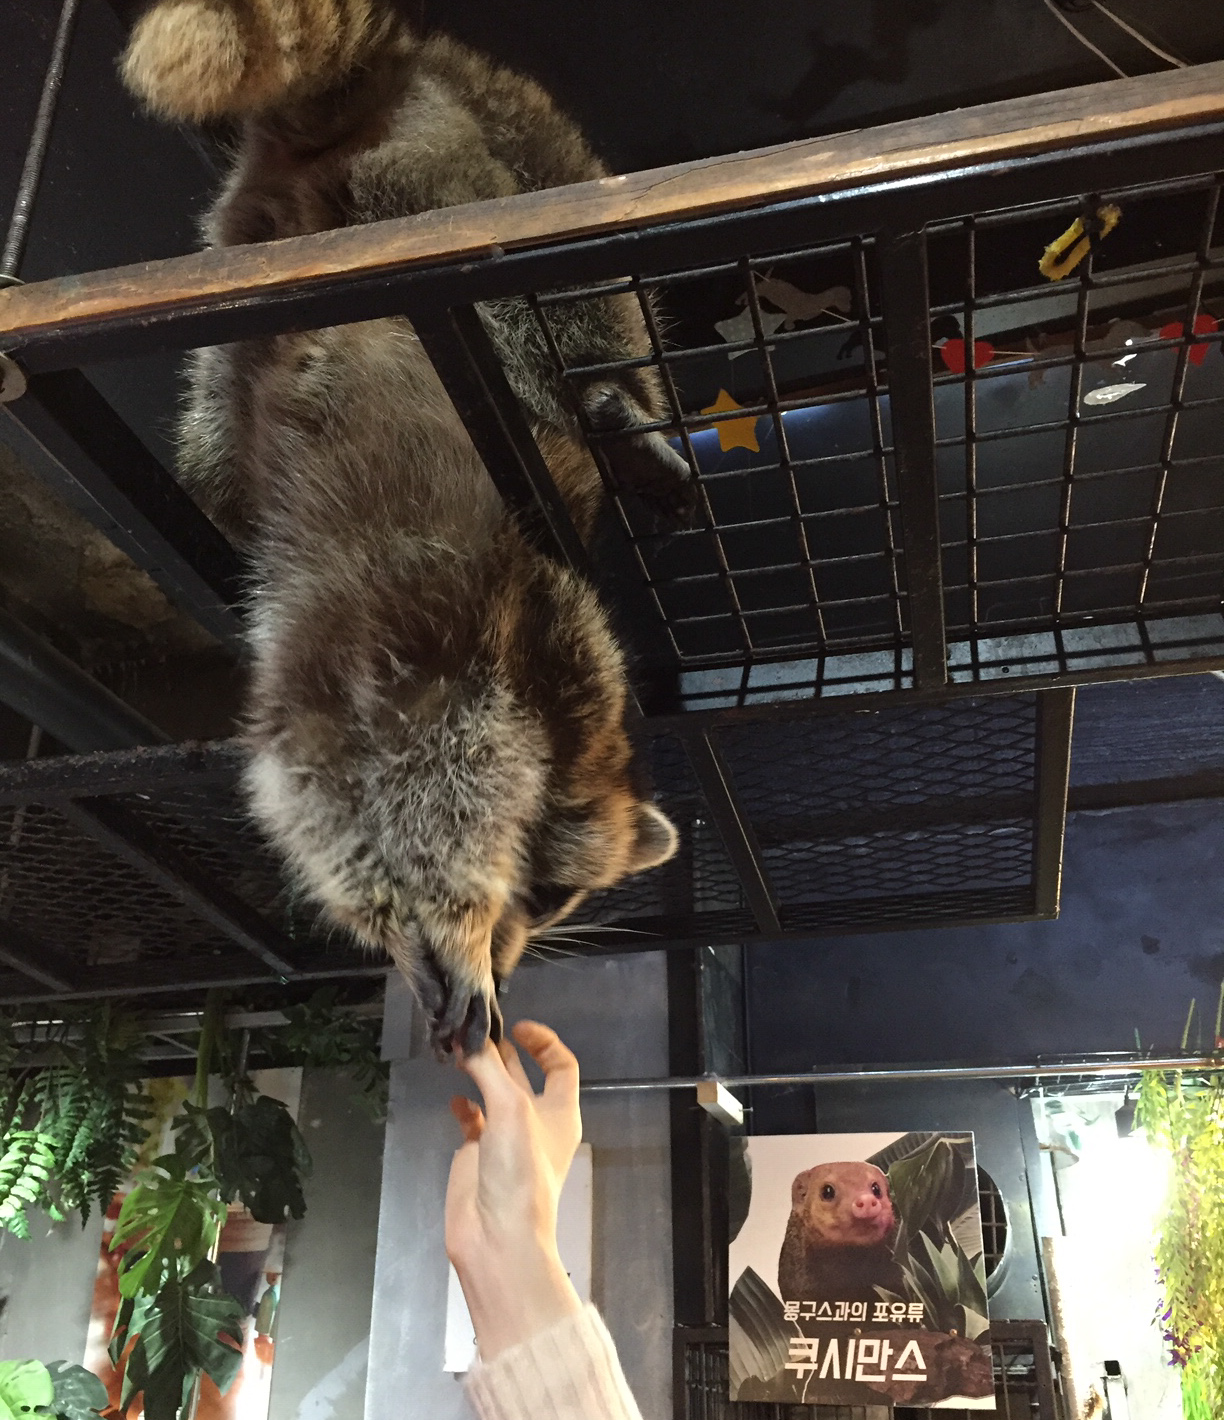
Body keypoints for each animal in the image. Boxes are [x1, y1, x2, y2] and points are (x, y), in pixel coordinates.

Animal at [120, 0, 688, 1052]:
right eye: (545, 895)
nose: (520, 945)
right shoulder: (450, 639)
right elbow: (385, 776)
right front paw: (443, 922)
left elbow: (324, 787)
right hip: (431, 175)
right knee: (536, 294)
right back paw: (609, 406)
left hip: (264, 230)